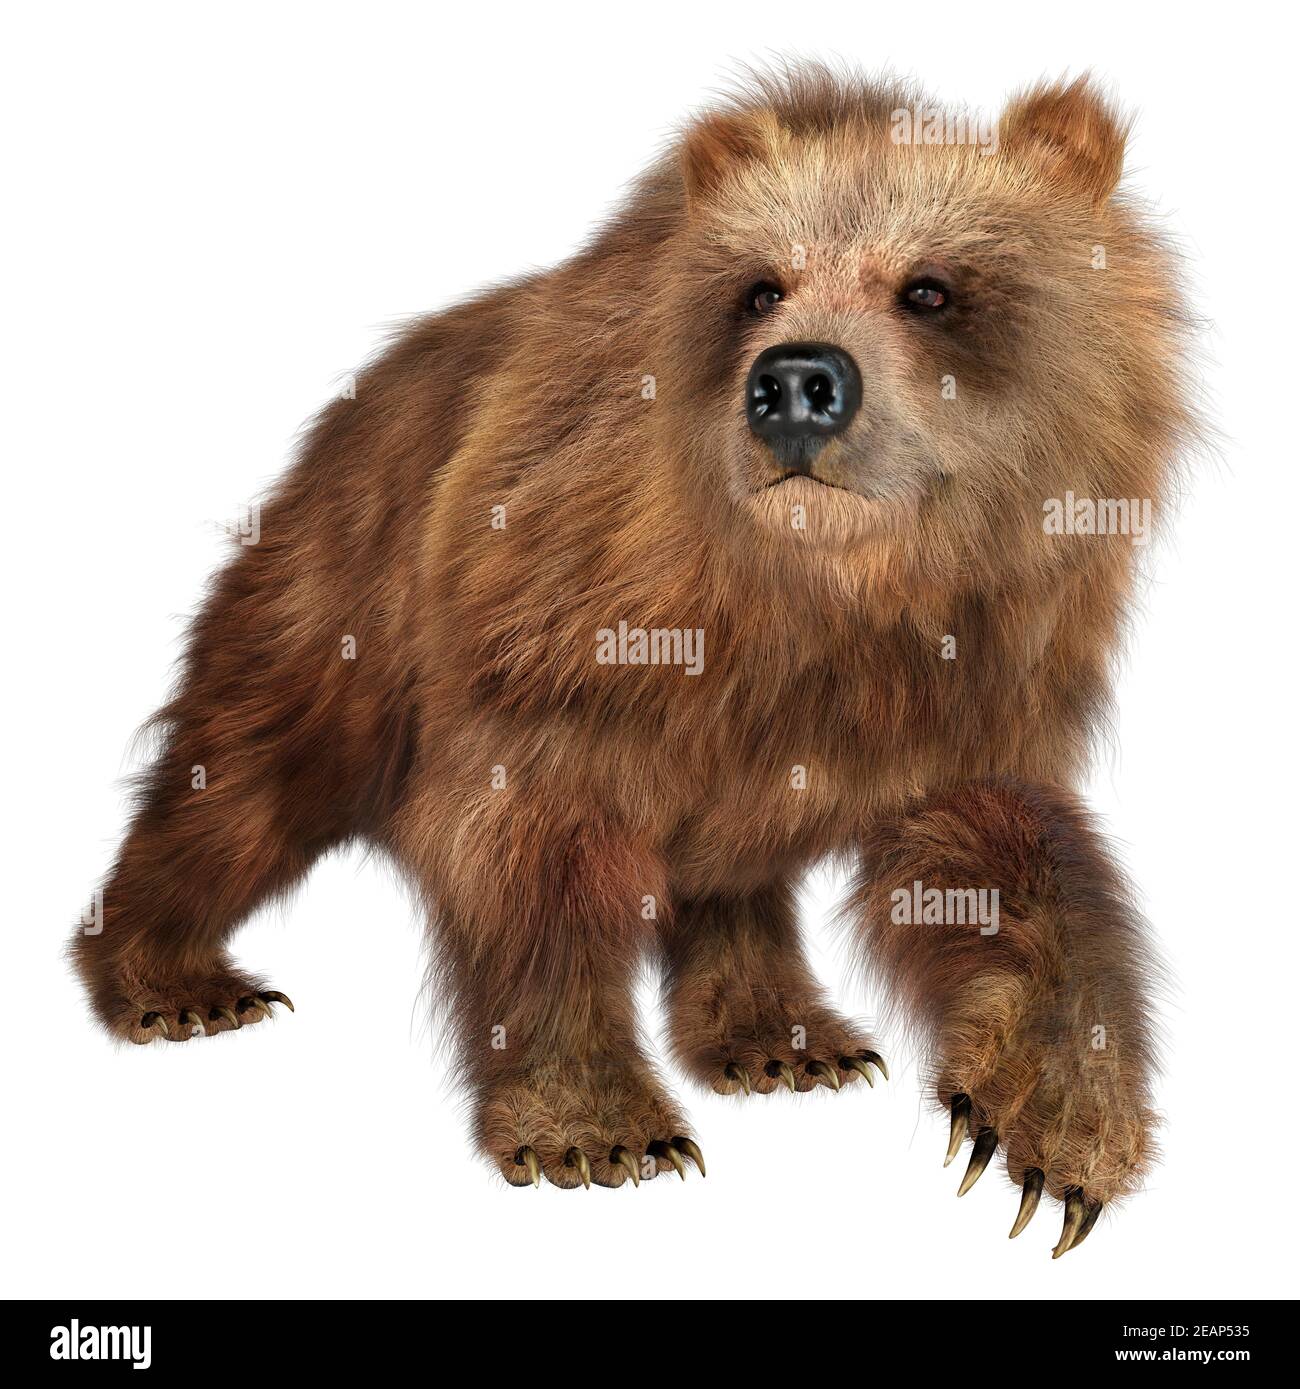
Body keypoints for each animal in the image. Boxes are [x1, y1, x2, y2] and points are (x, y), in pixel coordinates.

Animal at [72, 64, 1191, 1258]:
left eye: (929, 289)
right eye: (759, 288)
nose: (796, 382)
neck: (813, 606)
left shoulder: (966, 684)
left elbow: (1008, 857)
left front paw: (1048, 1129)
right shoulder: (554, 646)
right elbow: (533, 868)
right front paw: (594, 1130)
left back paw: (778, 1035)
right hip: (344, 589)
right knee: (251, 771)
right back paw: (171, 978)